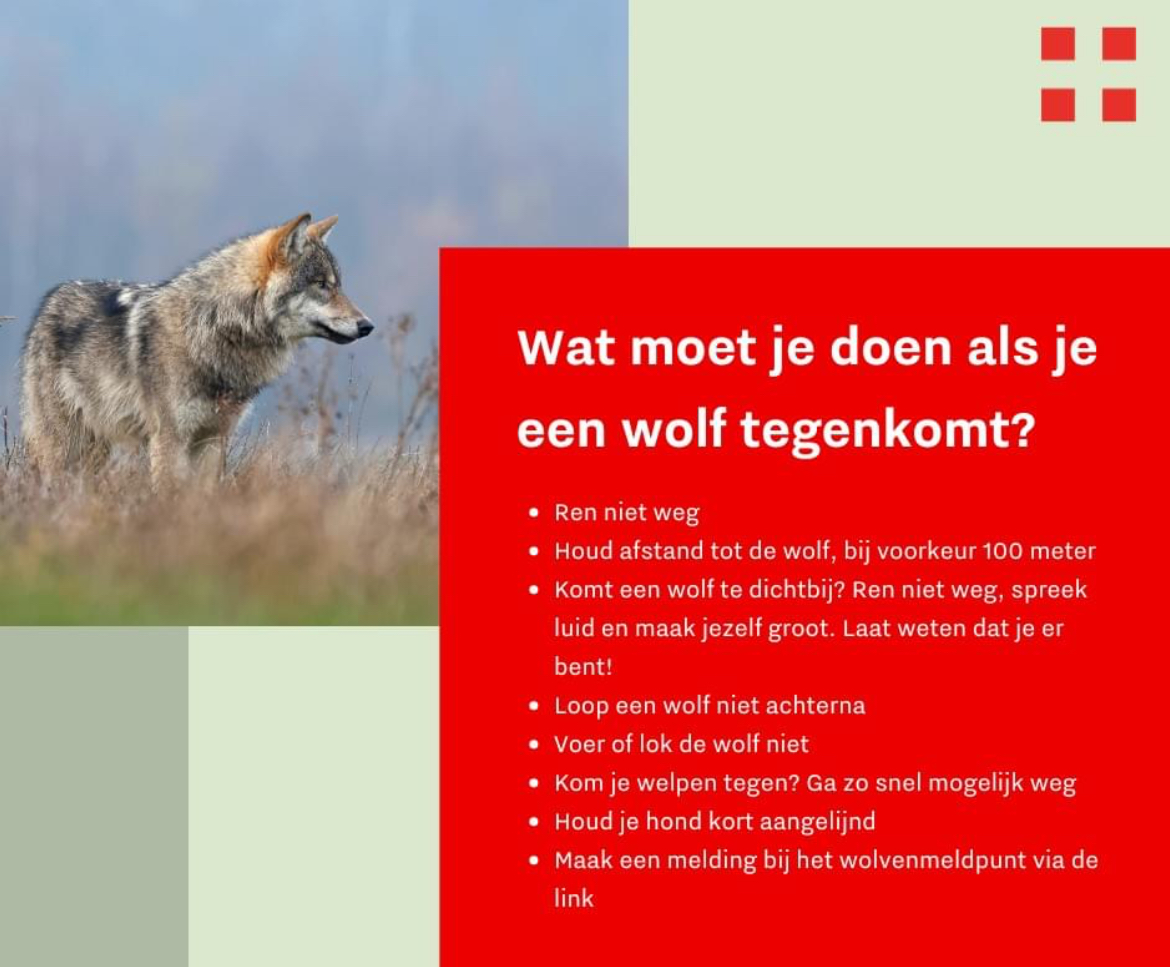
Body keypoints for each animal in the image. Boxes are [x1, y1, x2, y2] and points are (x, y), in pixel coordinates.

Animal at [20, 213, 372, 484]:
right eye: (322, 285)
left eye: (337, 285)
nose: (367, 325)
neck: (216, 326)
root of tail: (52, 299)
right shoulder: (169, 439)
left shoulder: (214, 439)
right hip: (65, 446)